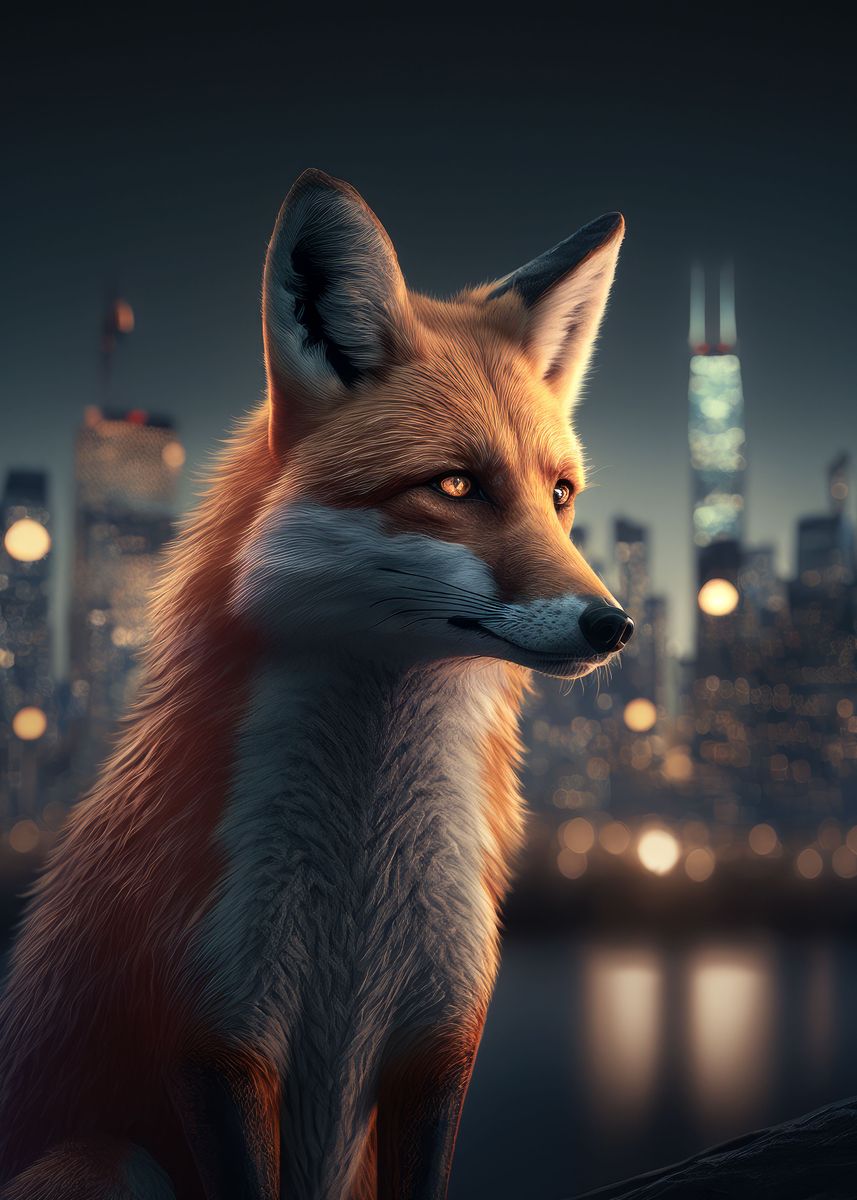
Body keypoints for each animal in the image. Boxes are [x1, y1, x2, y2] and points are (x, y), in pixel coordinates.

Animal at [0, 169, 632, 1200]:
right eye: (456, 488)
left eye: (560, 495)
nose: (612, 626)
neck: (358, 901)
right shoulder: (215, 1043)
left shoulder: (439, 1042)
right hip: (106, 1162)